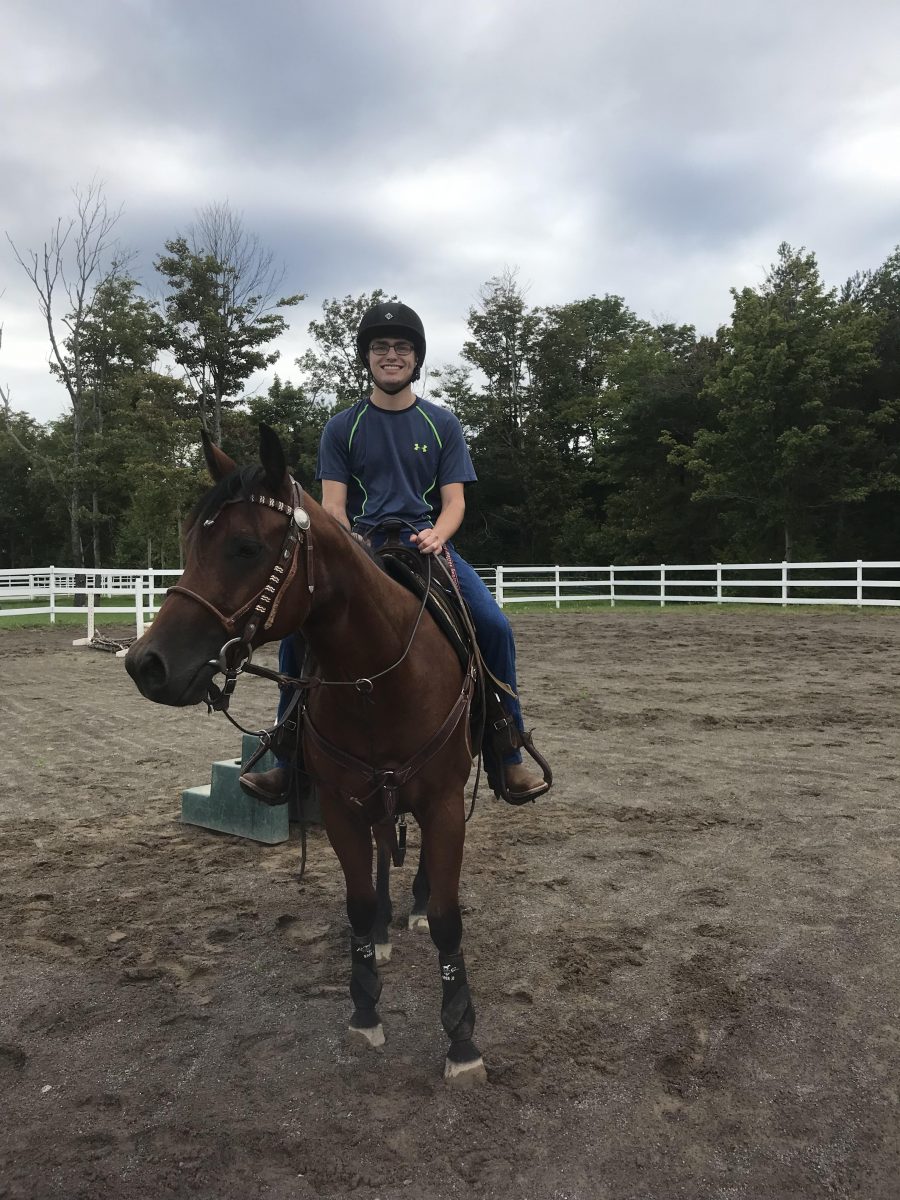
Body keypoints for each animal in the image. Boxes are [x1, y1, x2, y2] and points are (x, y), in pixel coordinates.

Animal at [125, 424, 486, 1083]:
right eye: (190, 541)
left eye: (244, 547)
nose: (147, 664)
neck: (377, 678)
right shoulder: (343, 805)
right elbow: (358, 901)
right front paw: (365, 1008)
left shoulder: (445, 800)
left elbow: (450, 918)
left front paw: (462, 1041)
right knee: (383, 849)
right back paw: (390, 924)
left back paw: (417, 906)